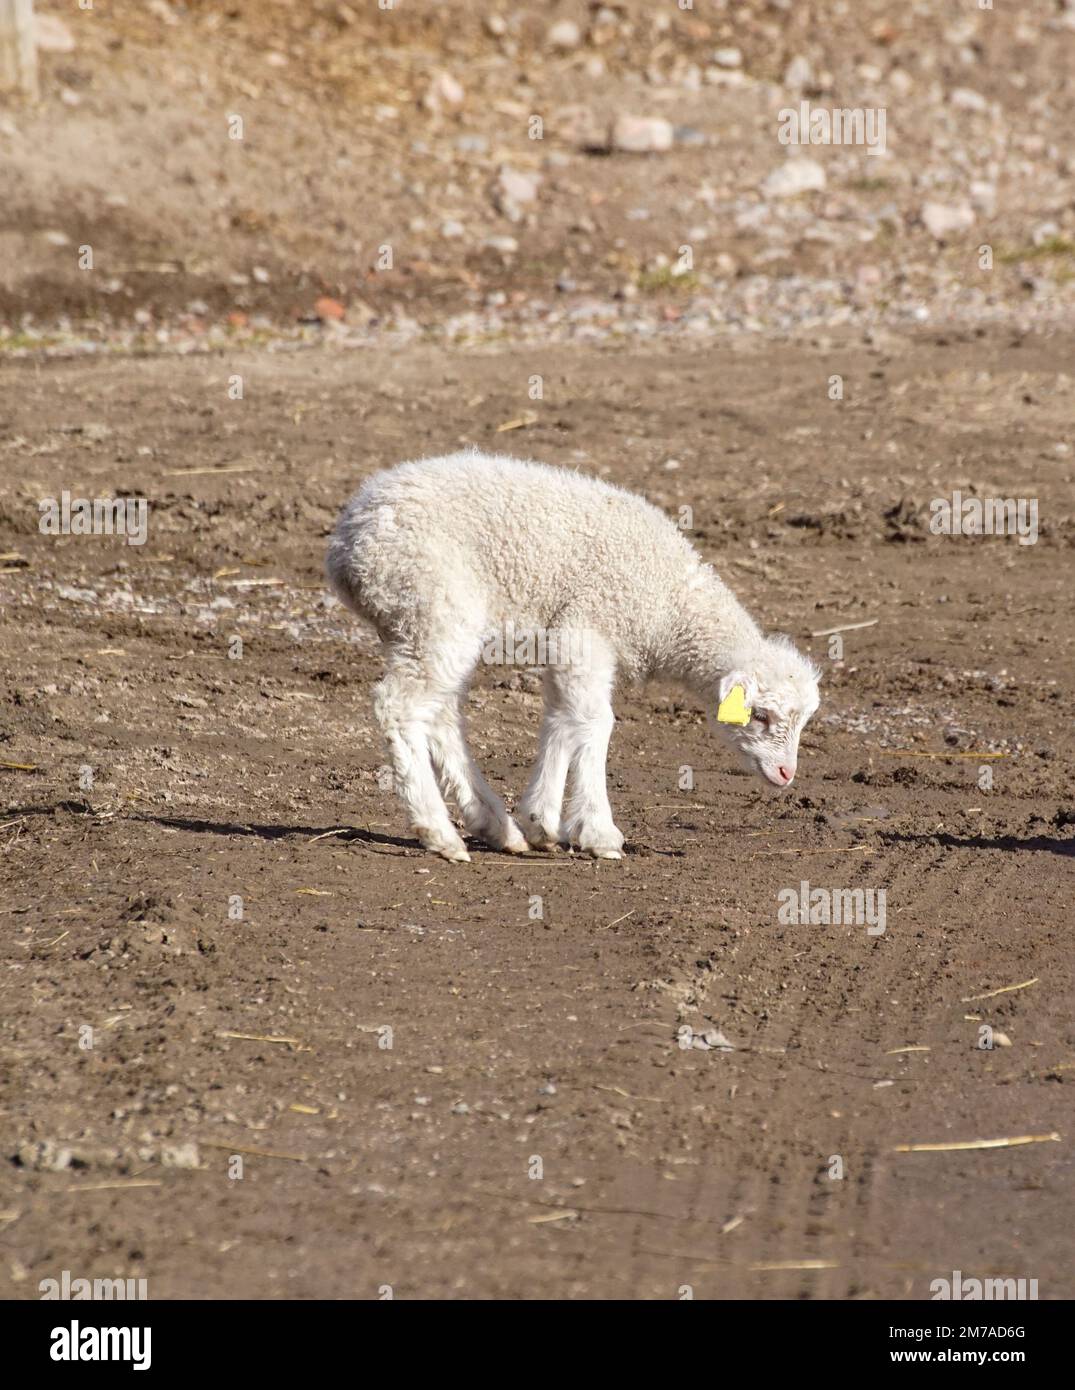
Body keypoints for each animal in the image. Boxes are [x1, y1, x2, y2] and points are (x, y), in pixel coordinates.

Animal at [326, 449, 821, 862]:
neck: (669, 607)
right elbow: (595, 722)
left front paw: (540, 821)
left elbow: (561, 719)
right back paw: (439, 833)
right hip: (435, 604)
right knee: (399, 707)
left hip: (420, 624)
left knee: (441, 714)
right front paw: (598, 831)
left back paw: (495, 825)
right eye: (760, 716)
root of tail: (347, 546)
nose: (786, 774)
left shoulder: (568, 640)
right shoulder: (589, 627)